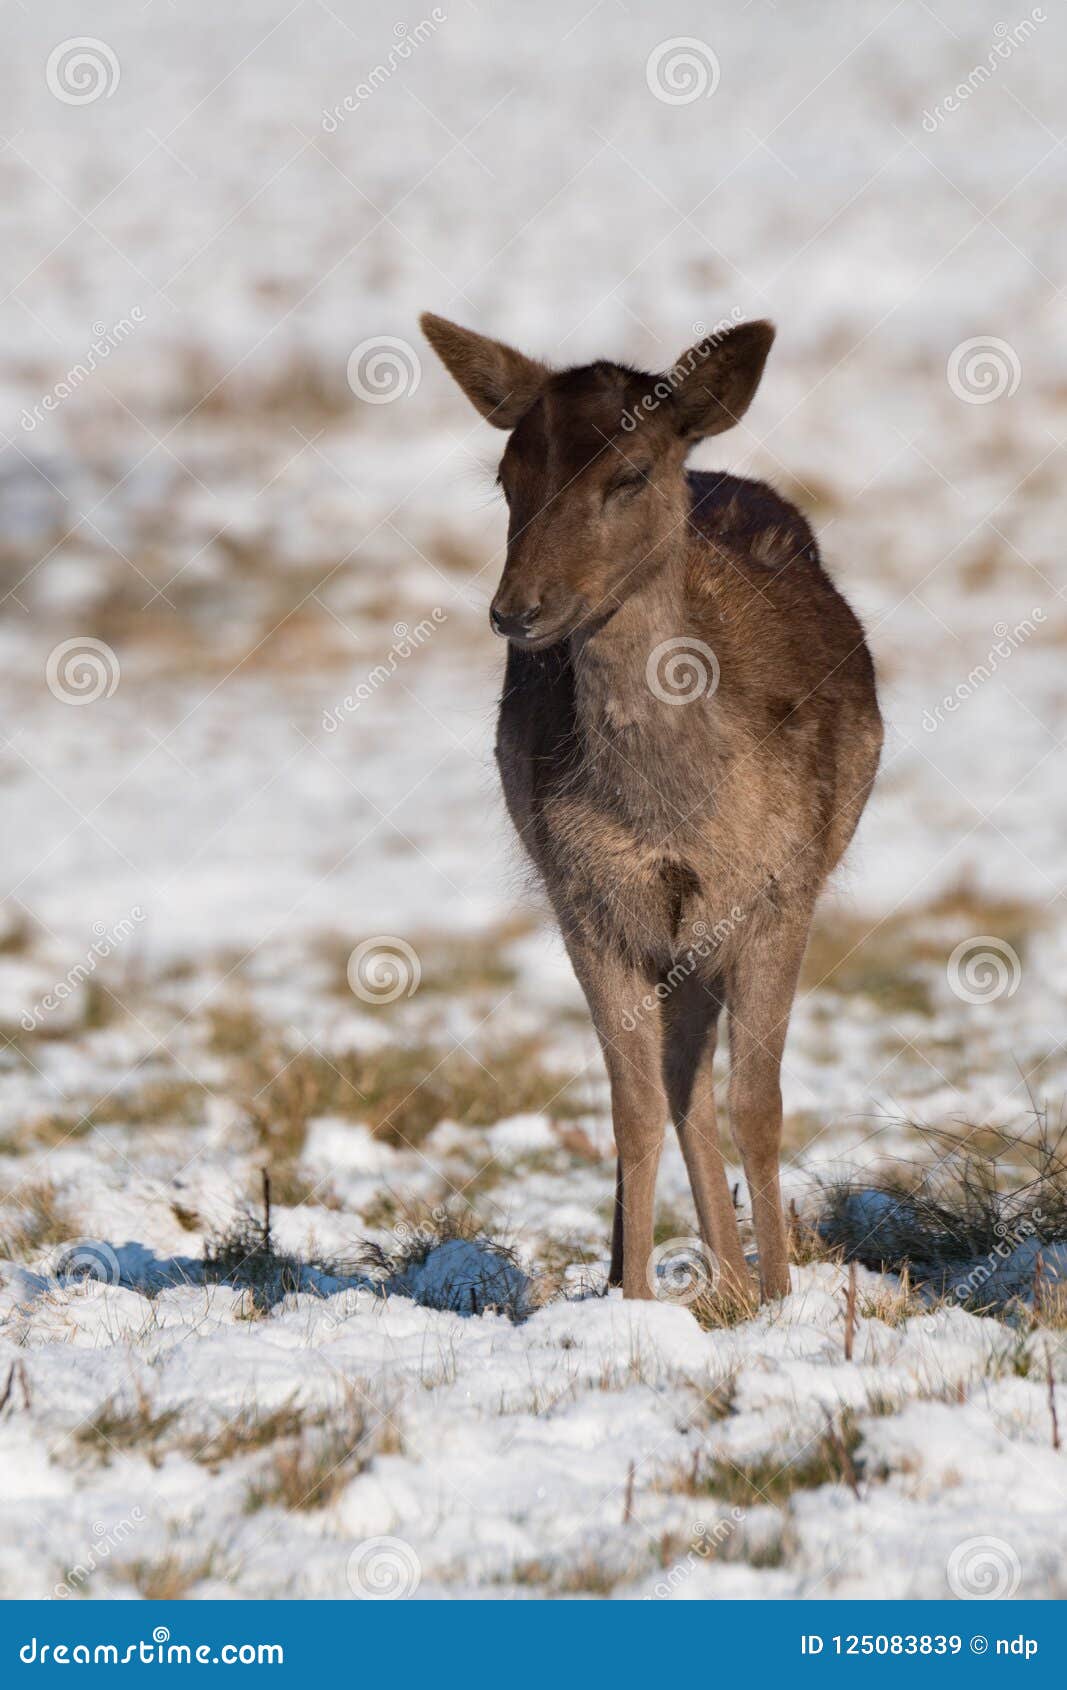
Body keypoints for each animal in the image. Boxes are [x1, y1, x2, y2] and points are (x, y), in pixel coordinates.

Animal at [420, 311, 883, 1303]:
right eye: (506, 475)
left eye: (628, 474)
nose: (517, 611)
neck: (668, 811)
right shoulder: (587, 898)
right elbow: (631, 1103)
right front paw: (631, 1303)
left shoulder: (778, 889)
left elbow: (759, 1100)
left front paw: (782, 1302)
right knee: (678, 1079)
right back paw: (718, 1281)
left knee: (699, 1076)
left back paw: (741, 1284)